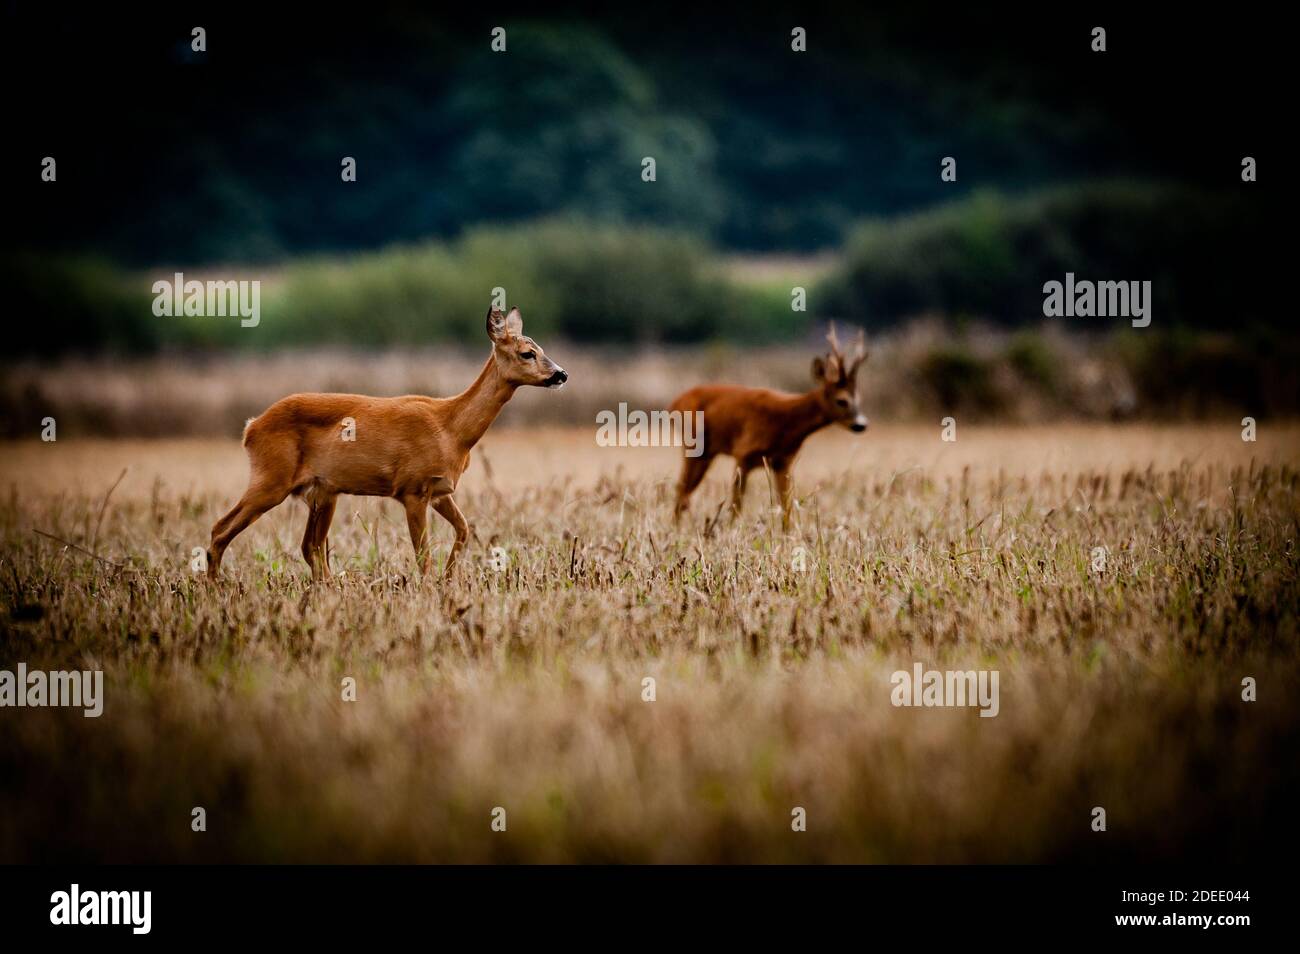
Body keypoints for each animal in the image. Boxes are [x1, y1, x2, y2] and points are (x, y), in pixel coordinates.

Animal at [206, 306, 567, 581]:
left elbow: (464, 530)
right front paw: (430, 589)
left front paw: (450, 579)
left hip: (322, 492)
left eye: (542, 350)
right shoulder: (412, 489)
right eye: (527, 353)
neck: (451, 428)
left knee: (310, 547)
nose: (561, 374)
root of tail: (251, 428)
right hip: (271, 478)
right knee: (220, 529)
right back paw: (216, 590)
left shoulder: (440, 490)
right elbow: (422, 554)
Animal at [669, 324, 868, 530]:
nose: (861, 424)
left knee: (684, 491)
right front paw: (732, 529)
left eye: (859, 398)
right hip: (694, 447)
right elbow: (736, 504)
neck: (785, 425)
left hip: (707, 453)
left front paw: (788, 533)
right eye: (841, 401)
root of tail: (674, 403)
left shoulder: (783, 462)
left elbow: (786, 507)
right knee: (681, 490)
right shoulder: (744, 453)